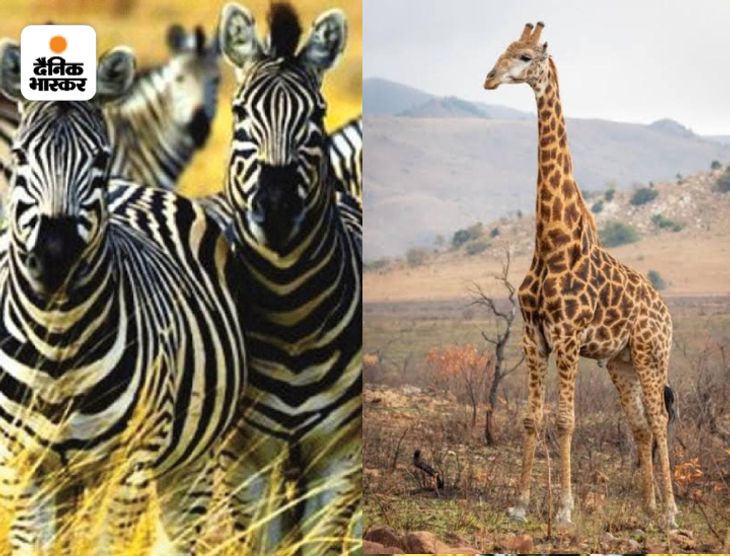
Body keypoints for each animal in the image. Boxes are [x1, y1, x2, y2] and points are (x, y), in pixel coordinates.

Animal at [0, 42, 246, 553]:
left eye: (100, 157)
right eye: (20, 155)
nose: (55, 257)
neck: (57, 343)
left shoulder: (131, 463)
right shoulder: (18, 463)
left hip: (192, 460)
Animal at [215, 3, 362, 553]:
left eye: (317, 116)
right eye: (239, 114)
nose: (276, 208)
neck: (290, 315)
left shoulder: (340, 457)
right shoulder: (244, 461)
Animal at [483, 22, 677, 528]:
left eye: (526, 56)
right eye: (503, 50)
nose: (489, 78)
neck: (552, 243)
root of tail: (667, 314)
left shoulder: (568, 336)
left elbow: (566, 420)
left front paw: (565, 509)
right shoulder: (533, 336)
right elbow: (532, 418)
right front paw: (519, 504)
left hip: (652, 355)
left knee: (660, 420)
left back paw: (671, 512)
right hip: (620, 363)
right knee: (640, 426)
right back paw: (649, 506)